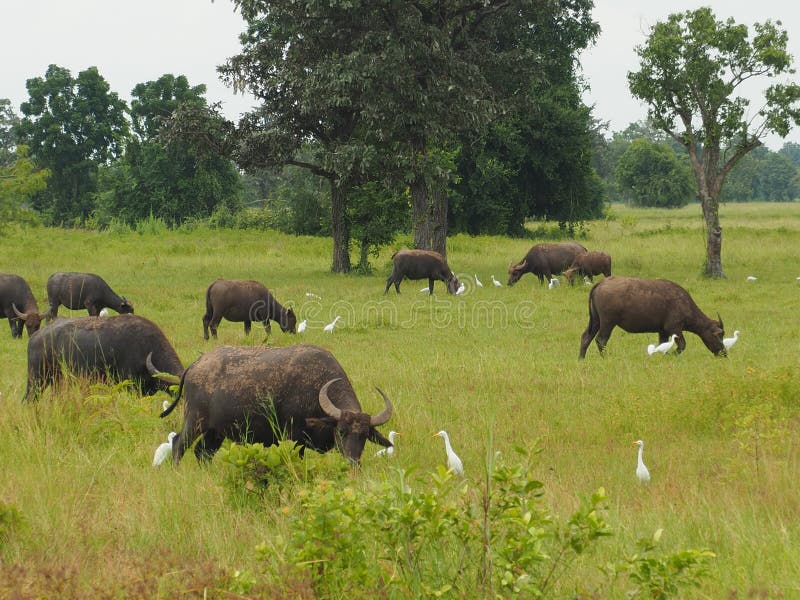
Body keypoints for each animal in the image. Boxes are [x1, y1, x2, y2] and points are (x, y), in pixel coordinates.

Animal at [159, 344, 393, 465]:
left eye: (364, 435)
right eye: (341, 431)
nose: (353, 463)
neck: (316, 387)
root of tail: (195, 365)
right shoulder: (293, 438)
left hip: (215, 431)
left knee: (202, 453)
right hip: (194, 420)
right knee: (178, 445)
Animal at [578, 276, 726, 358]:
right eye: (719, 335)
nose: (724, 353)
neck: (684, 303)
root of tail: (601, 283)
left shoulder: (663, 332)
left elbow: (663, 345)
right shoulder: (674, 328)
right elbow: (682, 345)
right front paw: (671, 355)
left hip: (596, 321)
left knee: (586, 337)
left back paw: (581, 358)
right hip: (608, 322)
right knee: (601, 340)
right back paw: (606, 357)